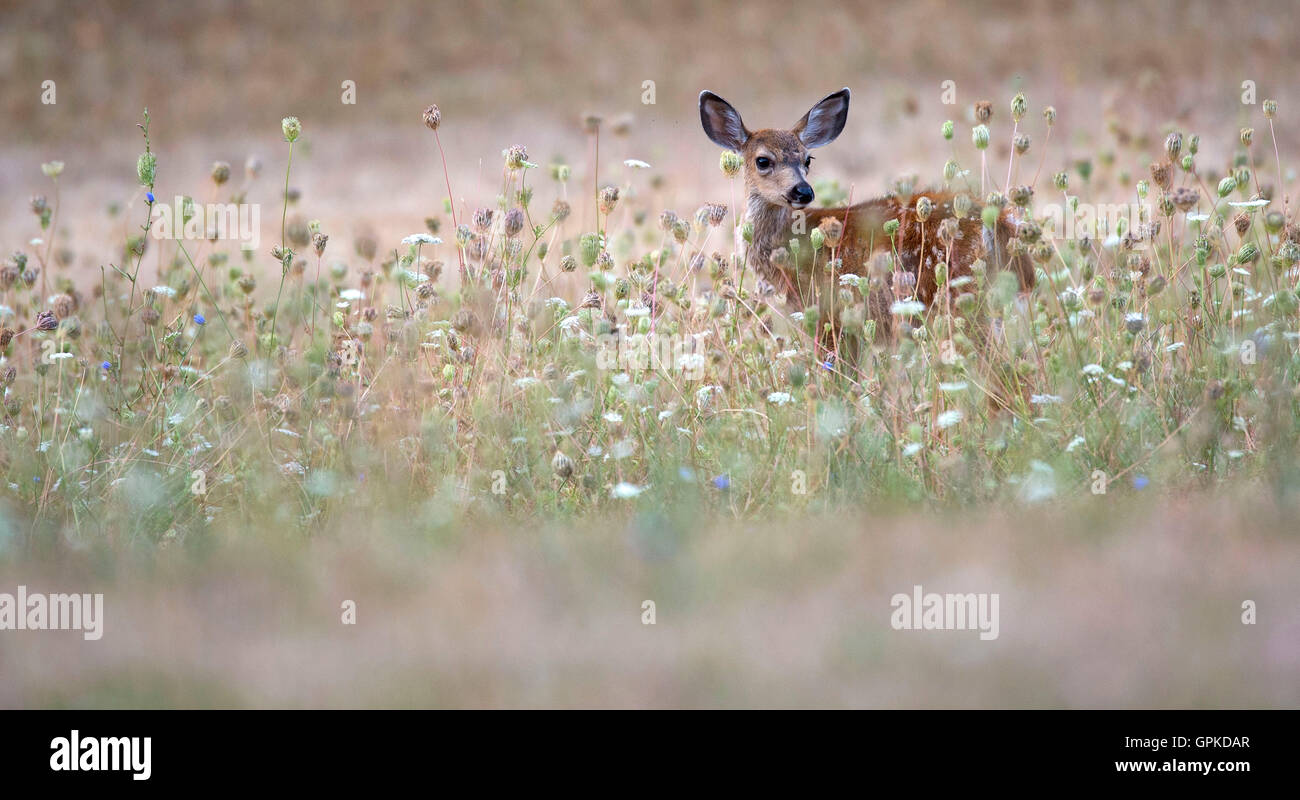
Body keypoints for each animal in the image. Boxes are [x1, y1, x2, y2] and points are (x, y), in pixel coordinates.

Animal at [698, 87, 1033, 354]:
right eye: (763, 160)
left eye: (808, 159)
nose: (803, 191)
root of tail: (997, 224)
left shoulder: (829, 316)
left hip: (960, 297)